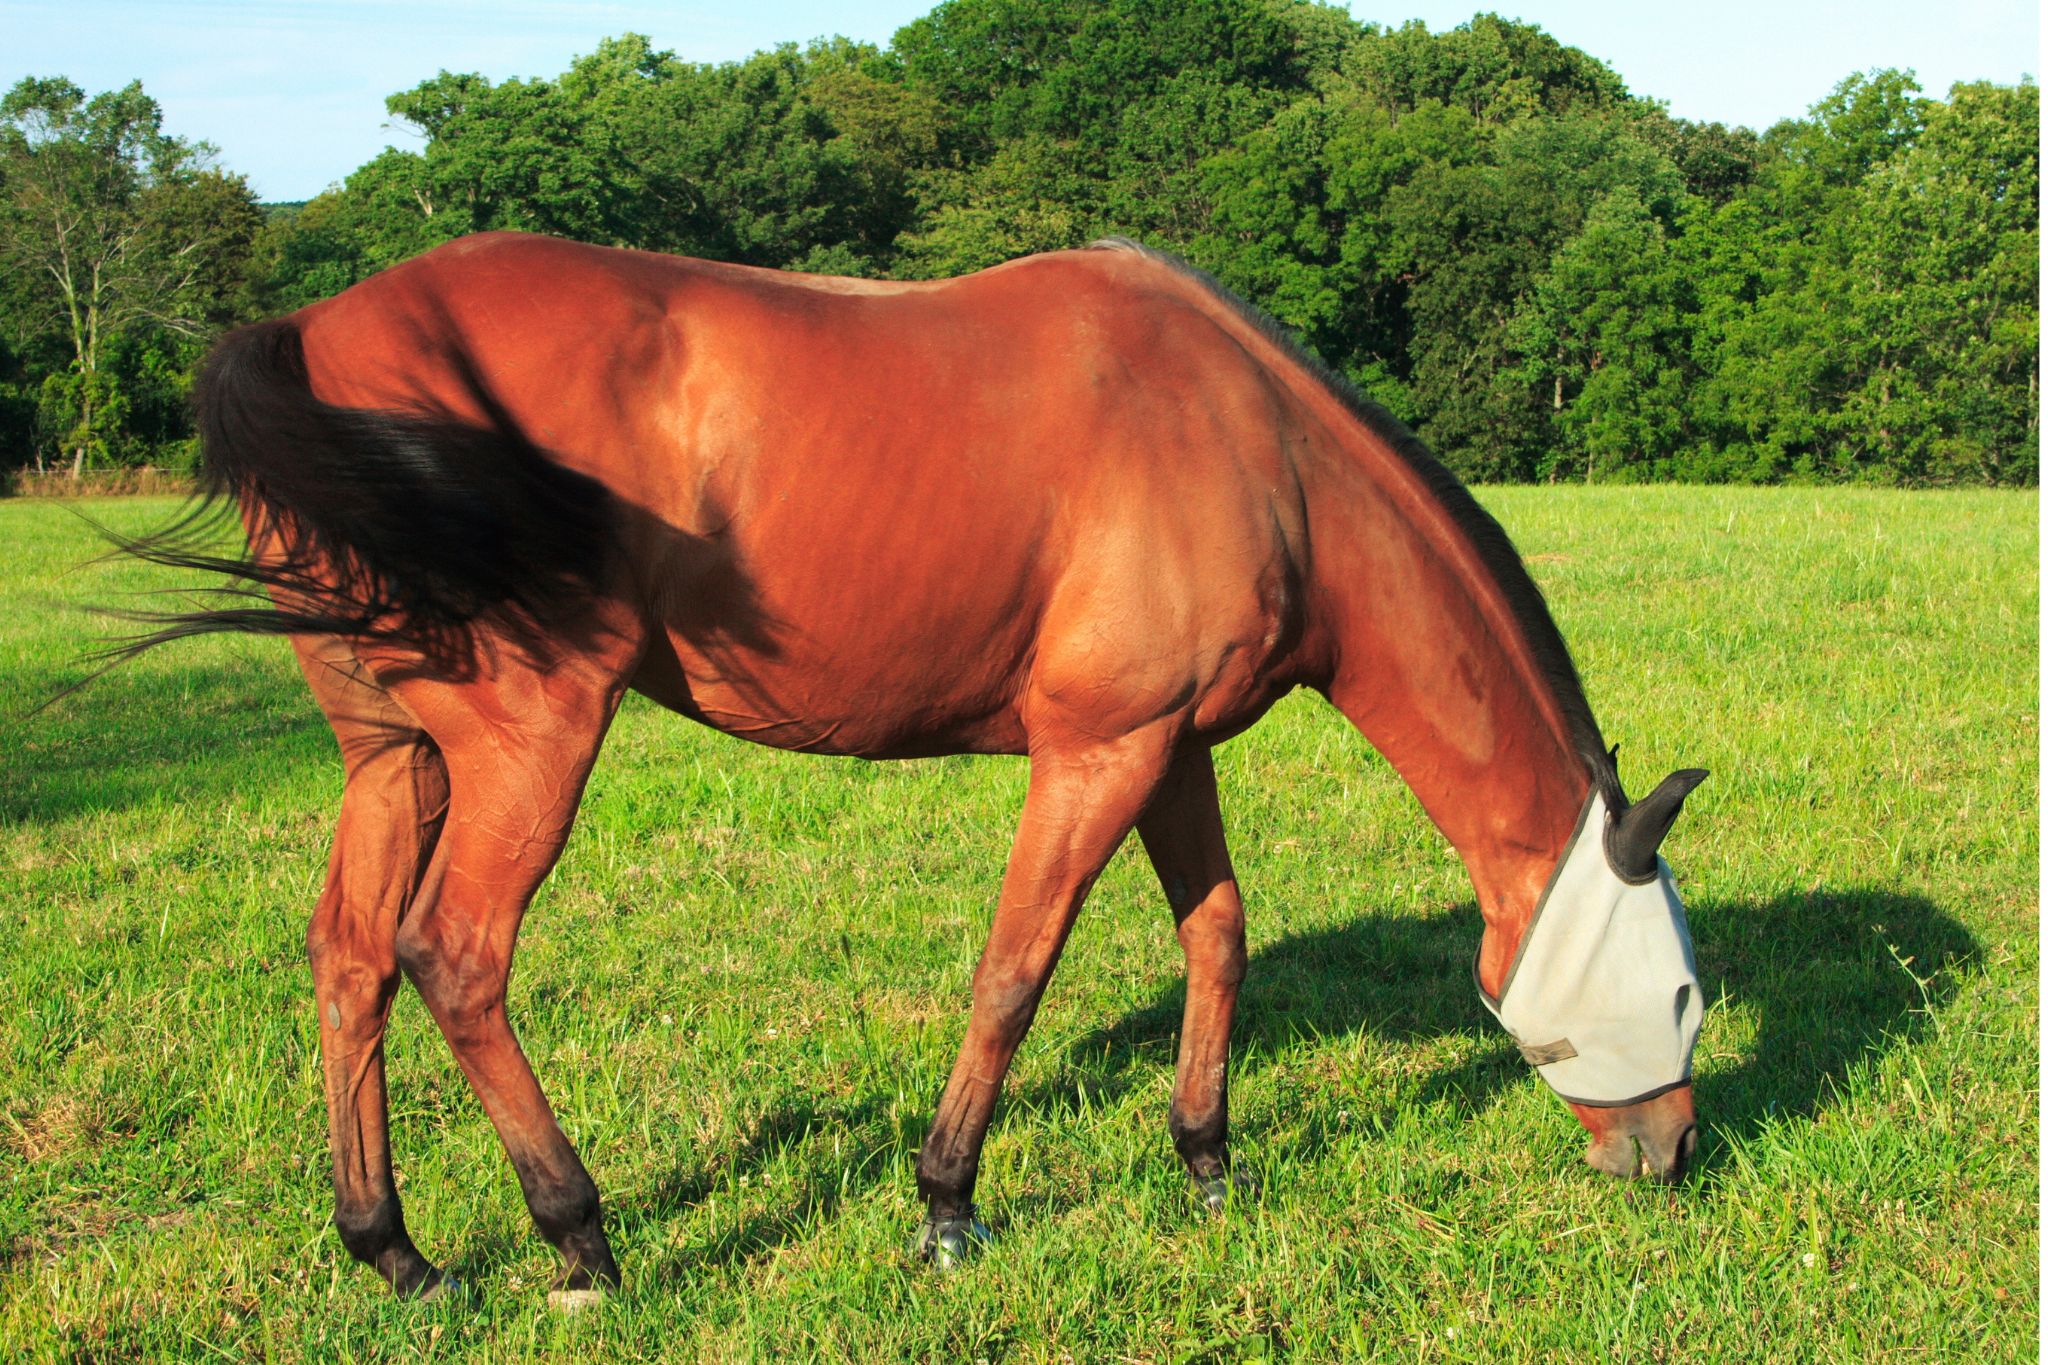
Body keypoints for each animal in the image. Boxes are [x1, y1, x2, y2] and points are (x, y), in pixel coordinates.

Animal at [123, 231, 1708, 1305]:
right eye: (1684, 994)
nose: (1675, 1154)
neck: (1258, 447)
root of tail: (314, 329)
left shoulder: (1169, 749)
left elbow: (1218, 933)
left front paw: (1206, 1158)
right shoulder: (1096, 751)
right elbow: (1015, 970)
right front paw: (948, 1205)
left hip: (395, 757)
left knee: (349, 959)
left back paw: (394, 1252)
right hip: (528, 743)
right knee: (453, 955)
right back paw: (579, 1235)